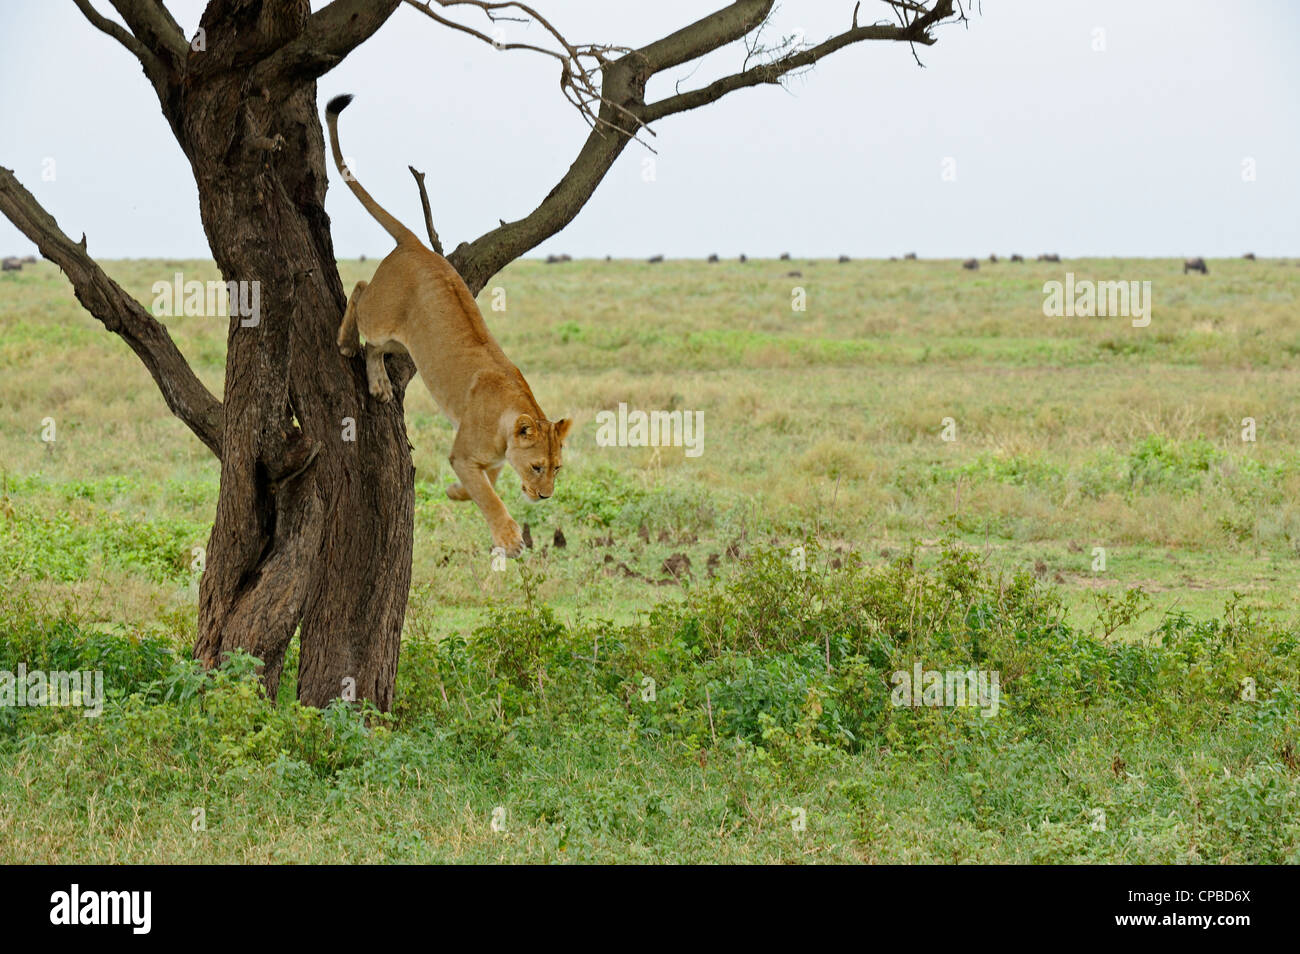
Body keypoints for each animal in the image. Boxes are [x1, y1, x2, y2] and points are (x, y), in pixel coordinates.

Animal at [326, 94, 571, 558]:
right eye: (536, 467)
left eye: (558, 468)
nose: (545, 495)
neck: (510, 413)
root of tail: (418, 245)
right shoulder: (463, 452)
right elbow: (490, 496)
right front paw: (509, 537)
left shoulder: (488, 459)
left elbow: (489, 480)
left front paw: (459, 493)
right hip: (382, 315)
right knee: (360, 294)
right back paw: (349, 345)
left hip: (407, 344)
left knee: (376, 346)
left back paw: (379, 382)